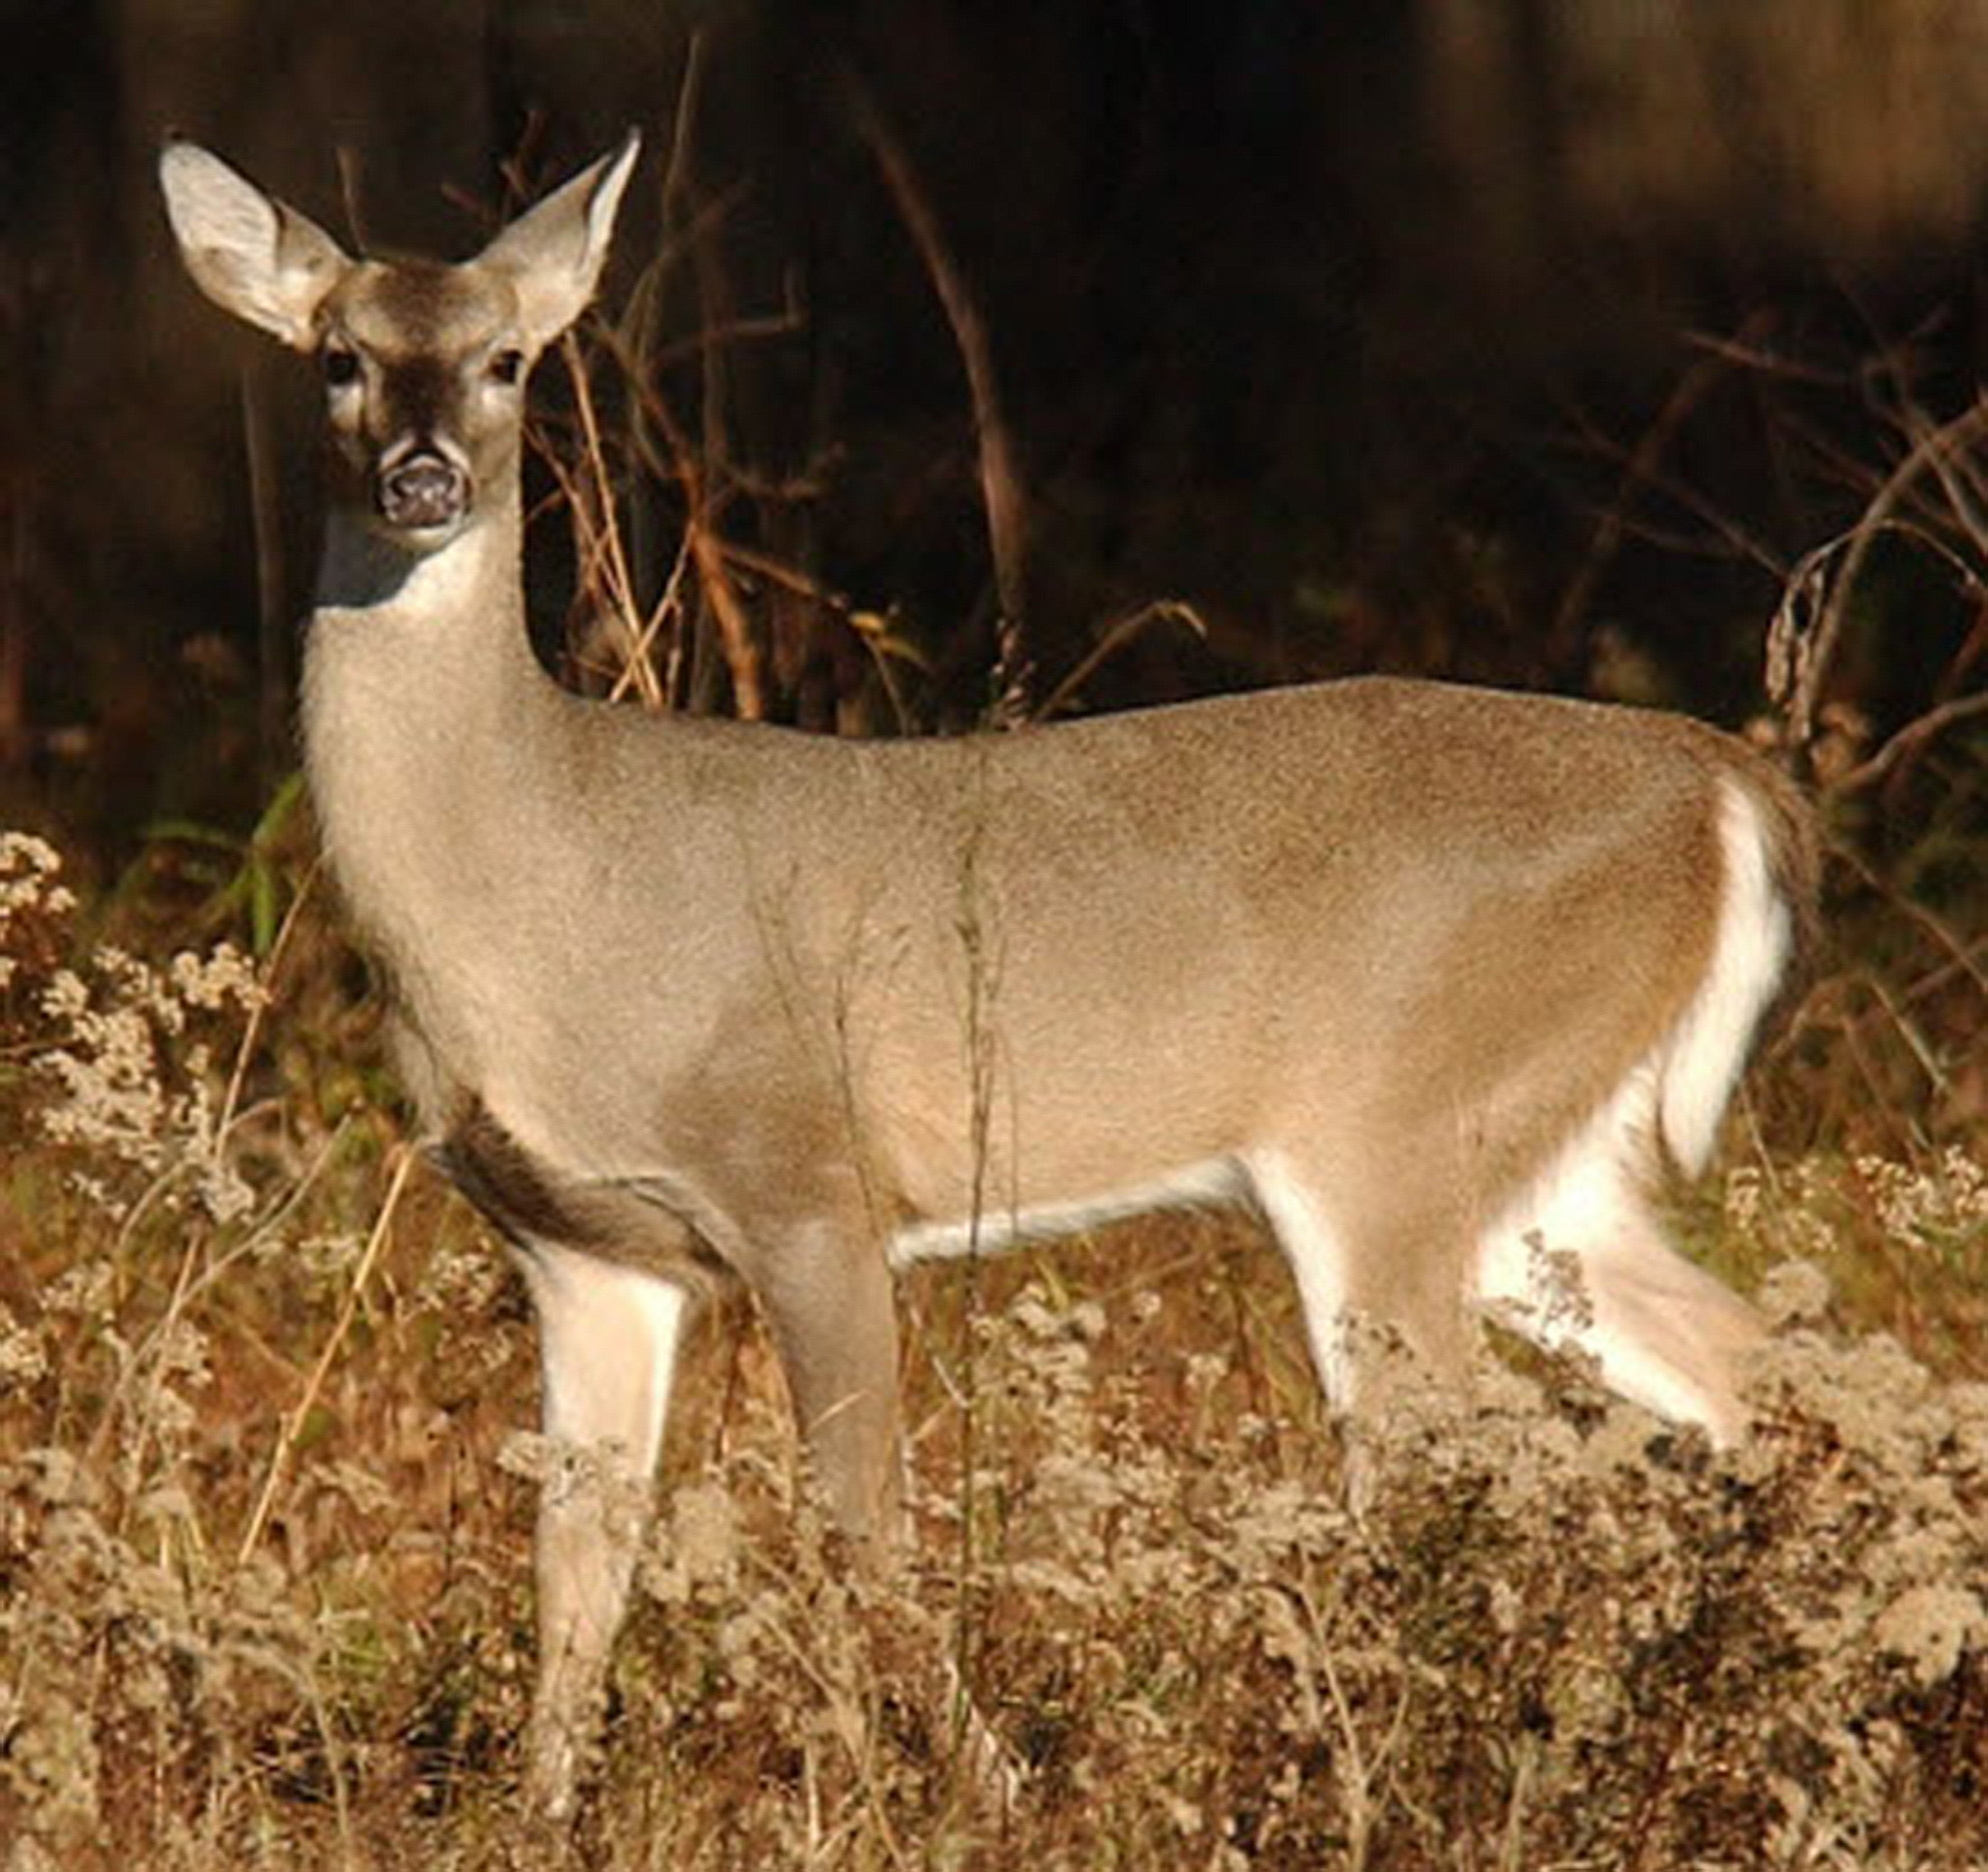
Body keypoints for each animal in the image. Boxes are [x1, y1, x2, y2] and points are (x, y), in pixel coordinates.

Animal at [159, 131, 1818, 1820]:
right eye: (339, 359)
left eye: (506, 359)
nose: (422, 474)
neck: (538, 886)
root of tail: (1721, 783)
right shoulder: (576, 1247)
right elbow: (574, 1567)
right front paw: (543, 1814)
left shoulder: (807, 1183)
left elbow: (863, 1533)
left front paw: (974, 1786)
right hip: (1538, 1167)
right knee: (1755, 1372)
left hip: (1400, 1132)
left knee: (1466, 1460)